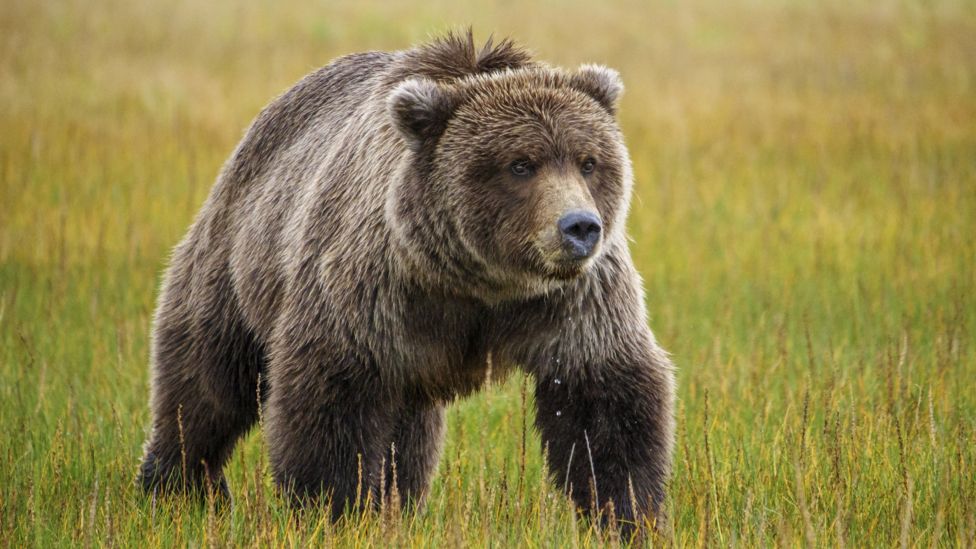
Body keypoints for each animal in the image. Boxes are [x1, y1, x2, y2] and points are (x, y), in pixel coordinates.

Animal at [138, 31, 675, 532]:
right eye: (520, 164)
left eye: (589, 160)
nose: (580, 226)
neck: (480, 281)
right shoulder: (374, 285)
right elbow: (333, 396)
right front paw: (335, 509)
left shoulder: (573, 300)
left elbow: (603, 396)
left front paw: (629, 513)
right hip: (236, 258)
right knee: (205, 383)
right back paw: (176, 487)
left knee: (409, 435)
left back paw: (400, 504)